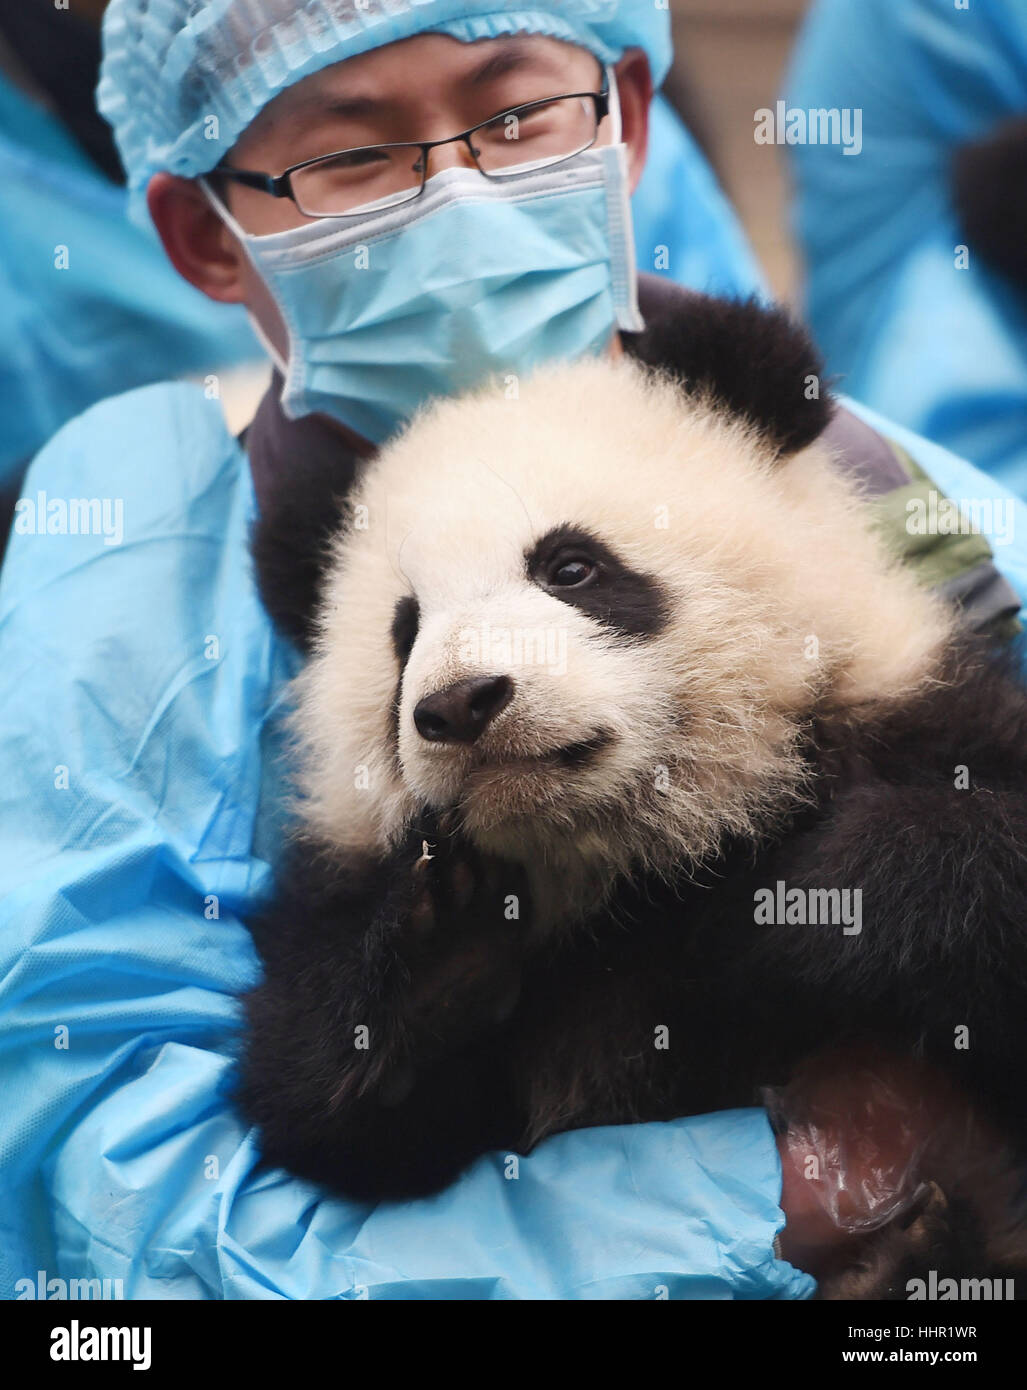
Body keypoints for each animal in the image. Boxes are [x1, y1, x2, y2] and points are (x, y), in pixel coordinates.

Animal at [241, 296, 1027, 1296]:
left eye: (570, 567)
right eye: (404, 630)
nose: (462, 702)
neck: (635, 859)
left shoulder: (921, 720)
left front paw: (796, 902)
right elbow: (339, 1123)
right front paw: (443, 951)